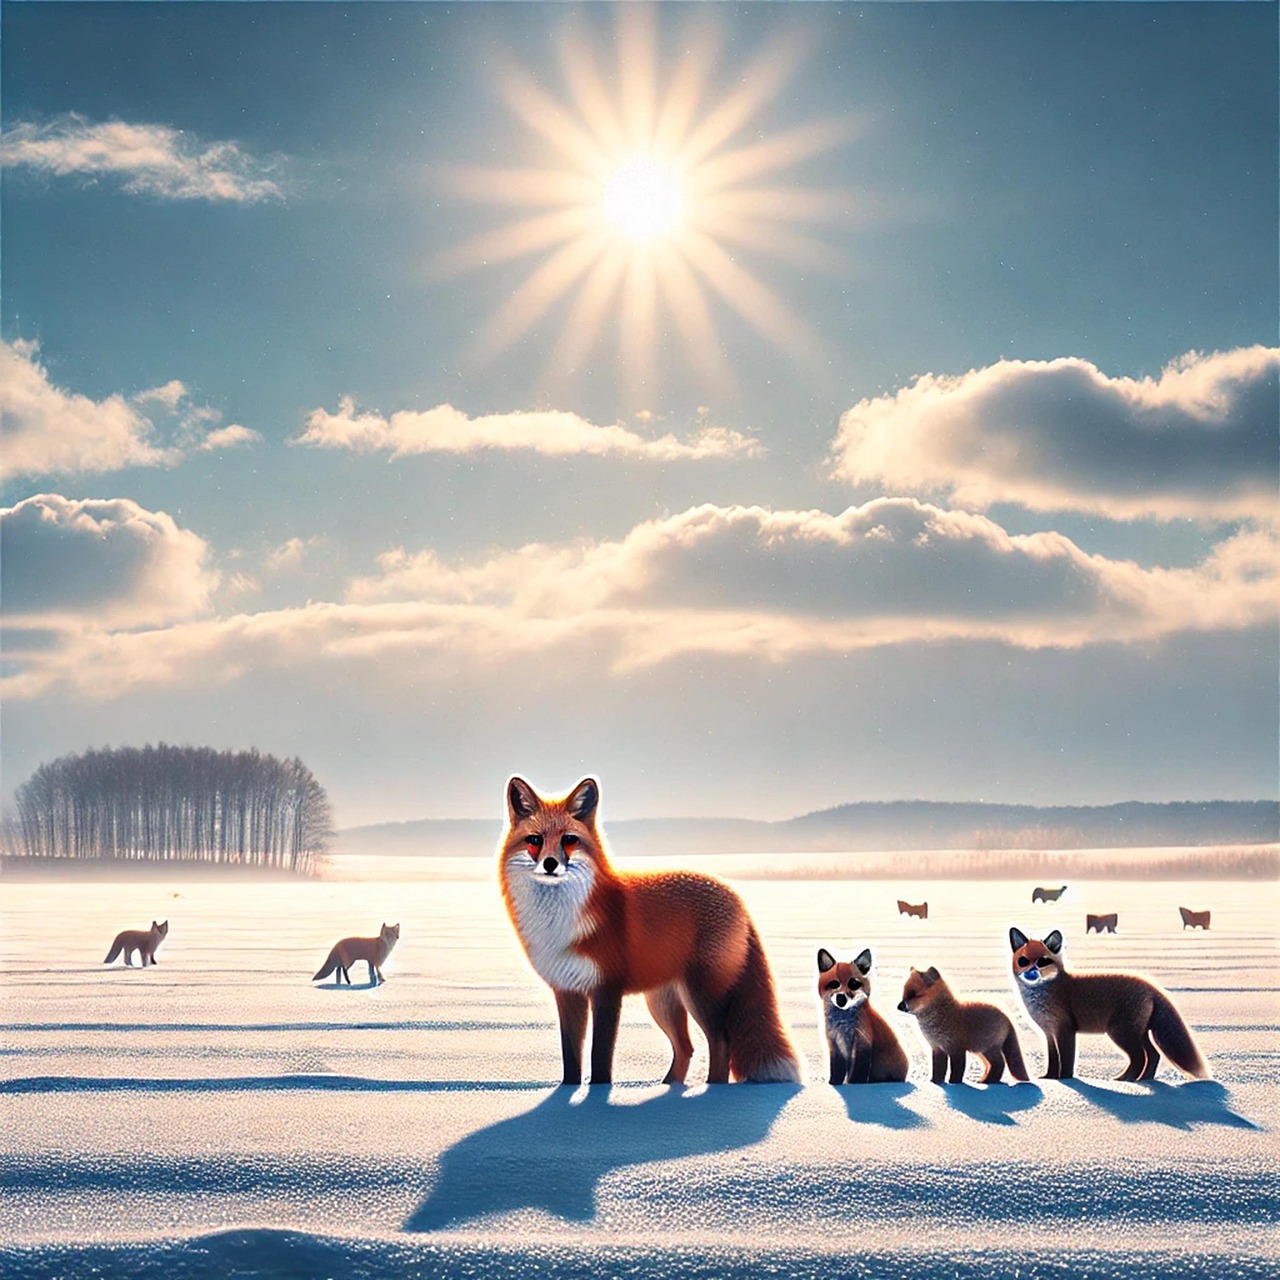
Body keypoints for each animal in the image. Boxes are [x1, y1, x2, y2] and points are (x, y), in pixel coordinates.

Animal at [499, 776, 800, 1087]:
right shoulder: (567, 991)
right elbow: (571, 1056)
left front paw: (598, 1092)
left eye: (569, 840)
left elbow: (600, 1055)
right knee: (686, 1047)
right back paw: (668, 1086)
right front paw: (567, 1092)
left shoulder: (607, 990)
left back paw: (713, 1090)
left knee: (721, 1042)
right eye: (535, 840)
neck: (561, 920)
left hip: (701, 993)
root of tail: (736, 895)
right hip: (662, 1002)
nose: (550, 864)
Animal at [817, 948, 909, 1085]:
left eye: (853, 983)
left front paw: (854, 1085)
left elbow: (858, 1072)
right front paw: (833, 1084)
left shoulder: (862, 1043)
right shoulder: (834, 1044)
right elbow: (836, 1071)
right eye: (834, 984)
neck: (843, 1025)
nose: (841, 998)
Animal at [897, 965, 1028, 1084]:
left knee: (1000, 1064)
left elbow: (957, 1070)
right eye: (904, 994)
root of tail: (1007, 1016)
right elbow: (938, 1070)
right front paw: (935, 1083)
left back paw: (989, 1081)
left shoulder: (956, 1048)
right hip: (980, 1052)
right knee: (990, 1066)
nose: (899, 1006)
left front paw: (954, 1084)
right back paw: (983, 1079)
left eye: (913, 995)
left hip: (988, 1048)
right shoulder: (937, 1048)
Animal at [1009, 927, 1209, 1081]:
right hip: (1138, 1032)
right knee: (1153, 1055)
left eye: (1042, 961)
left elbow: (1066, 1060)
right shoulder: (1049, 1033)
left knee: (1140, 1058)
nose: (1031, 972)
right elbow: (1053, 1060)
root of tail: (1151, 986)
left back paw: (1124, 1080)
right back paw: (1144, 1080)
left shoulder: (1064, 1030)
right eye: (1023, 960)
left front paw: (1066, 1081)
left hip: (1120, 1032)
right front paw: (1049, 1079)